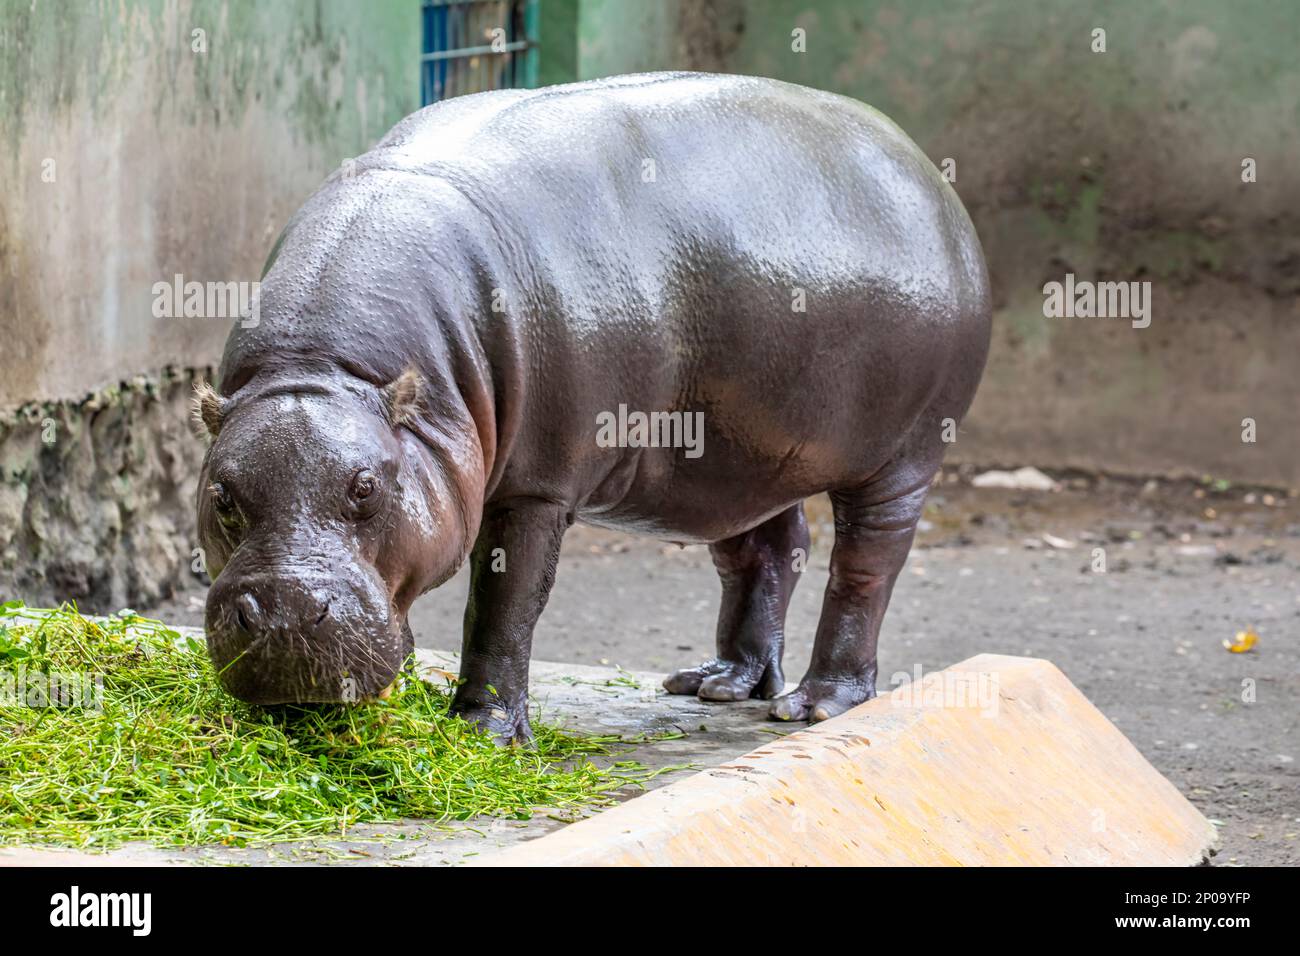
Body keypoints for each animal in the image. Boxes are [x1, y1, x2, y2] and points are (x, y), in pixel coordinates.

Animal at [193, 72, 991, 743]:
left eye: (367, 486)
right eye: (221, 495)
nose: (286, 613)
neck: (327, 367)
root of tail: (928, 175)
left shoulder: (536, 487)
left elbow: (504, 606)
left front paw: (481, 735)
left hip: (902, 459)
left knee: (864, 569)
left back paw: (815, 704)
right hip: (736, 456)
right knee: (766, 550)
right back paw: (718, 685)